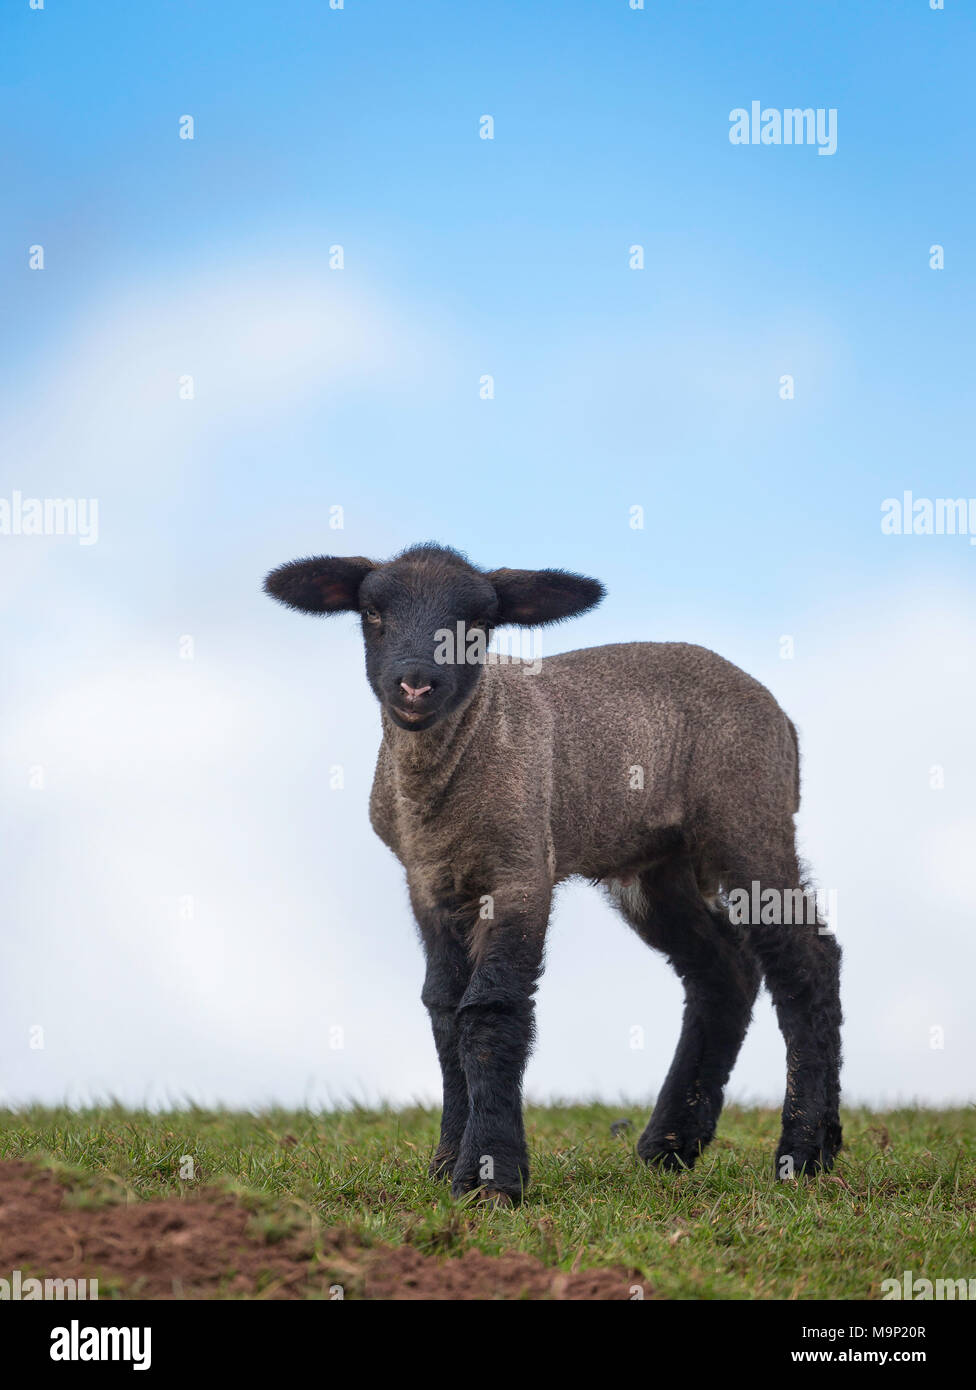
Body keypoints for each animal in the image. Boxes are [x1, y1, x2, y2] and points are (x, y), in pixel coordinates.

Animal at [264, 542, 843, 1203]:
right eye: (371, 613)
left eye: (478, 624)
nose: (415, 683)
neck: (447, 776)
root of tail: (780, 714)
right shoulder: (427, 882)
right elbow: (444, 1010)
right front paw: (446, 1162)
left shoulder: (521, 869)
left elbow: (491, 1011)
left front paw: (490, 1175)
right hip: (658, 865)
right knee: (723, 971)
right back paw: (671, 1144)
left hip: (749, 818)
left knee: (807, 962)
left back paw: (805, 1150)